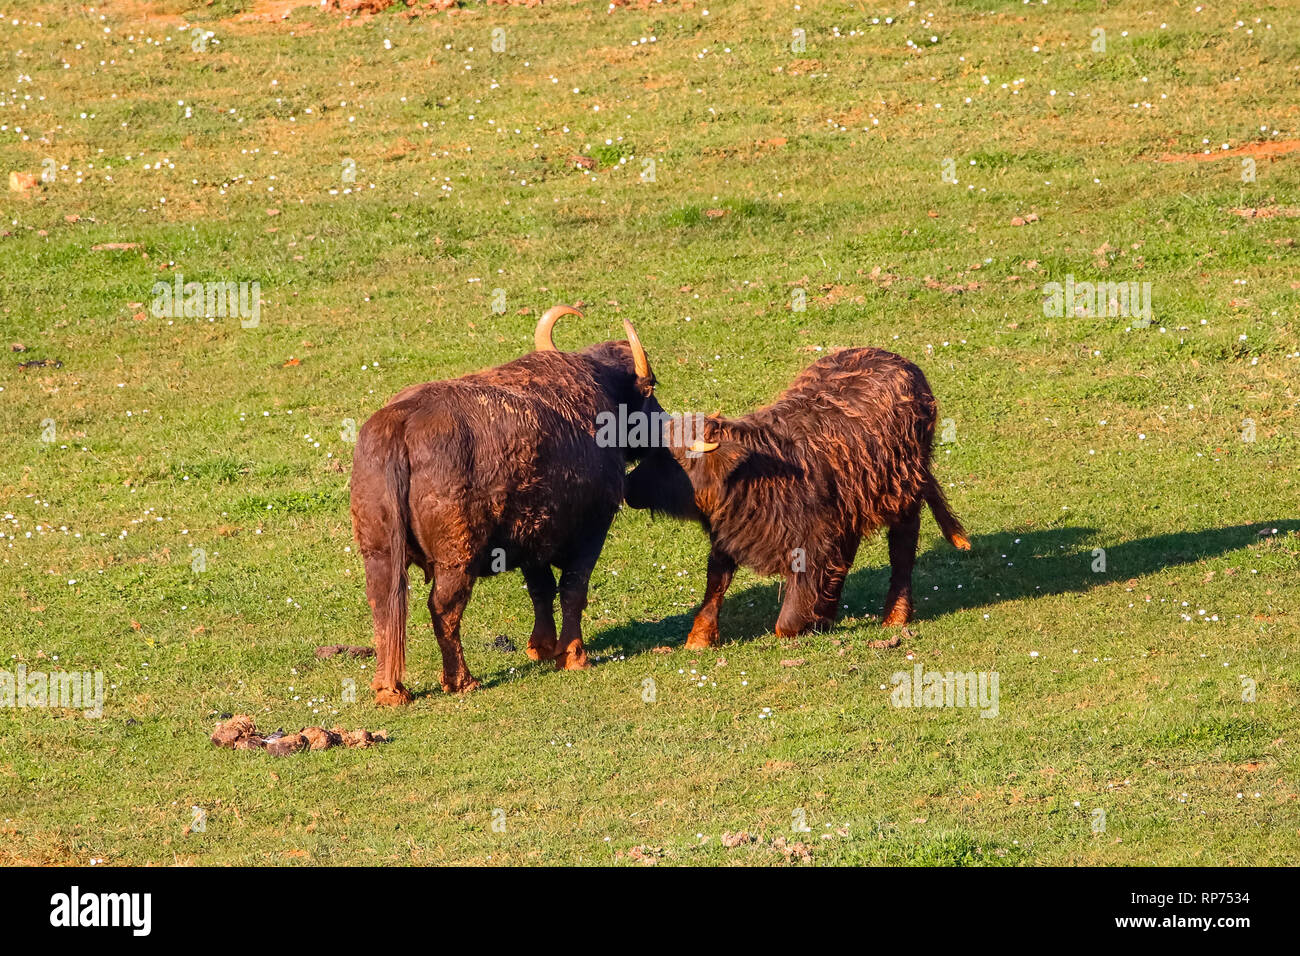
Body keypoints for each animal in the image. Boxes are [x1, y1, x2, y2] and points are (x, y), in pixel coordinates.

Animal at [350, 306, 661, 704]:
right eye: (652, 388)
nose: (664, 426)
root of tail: (401, 422)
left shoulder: (532, 541)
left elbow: (541, 589)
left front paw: (541, 648)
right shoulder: (592, 531)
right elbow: (572, 589)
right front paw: (573, 656)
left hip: (380, 554)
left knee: (384, 606)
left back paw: (391, 690)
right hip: (457, 561)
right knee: (444, 608)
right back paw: (461, 681)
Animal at [624, 346, 970, 647]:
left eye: (670, 459)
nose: (628, 485)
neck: (757, 475)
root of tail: (903, 363)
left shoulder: (813, 543)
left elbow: (785, 622)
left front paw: (803, 625)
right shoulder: (727, 537)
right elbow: (715, 584)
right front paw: (698, 639)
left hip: (905, 496)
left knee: (902, 552)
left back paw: (894, 618)